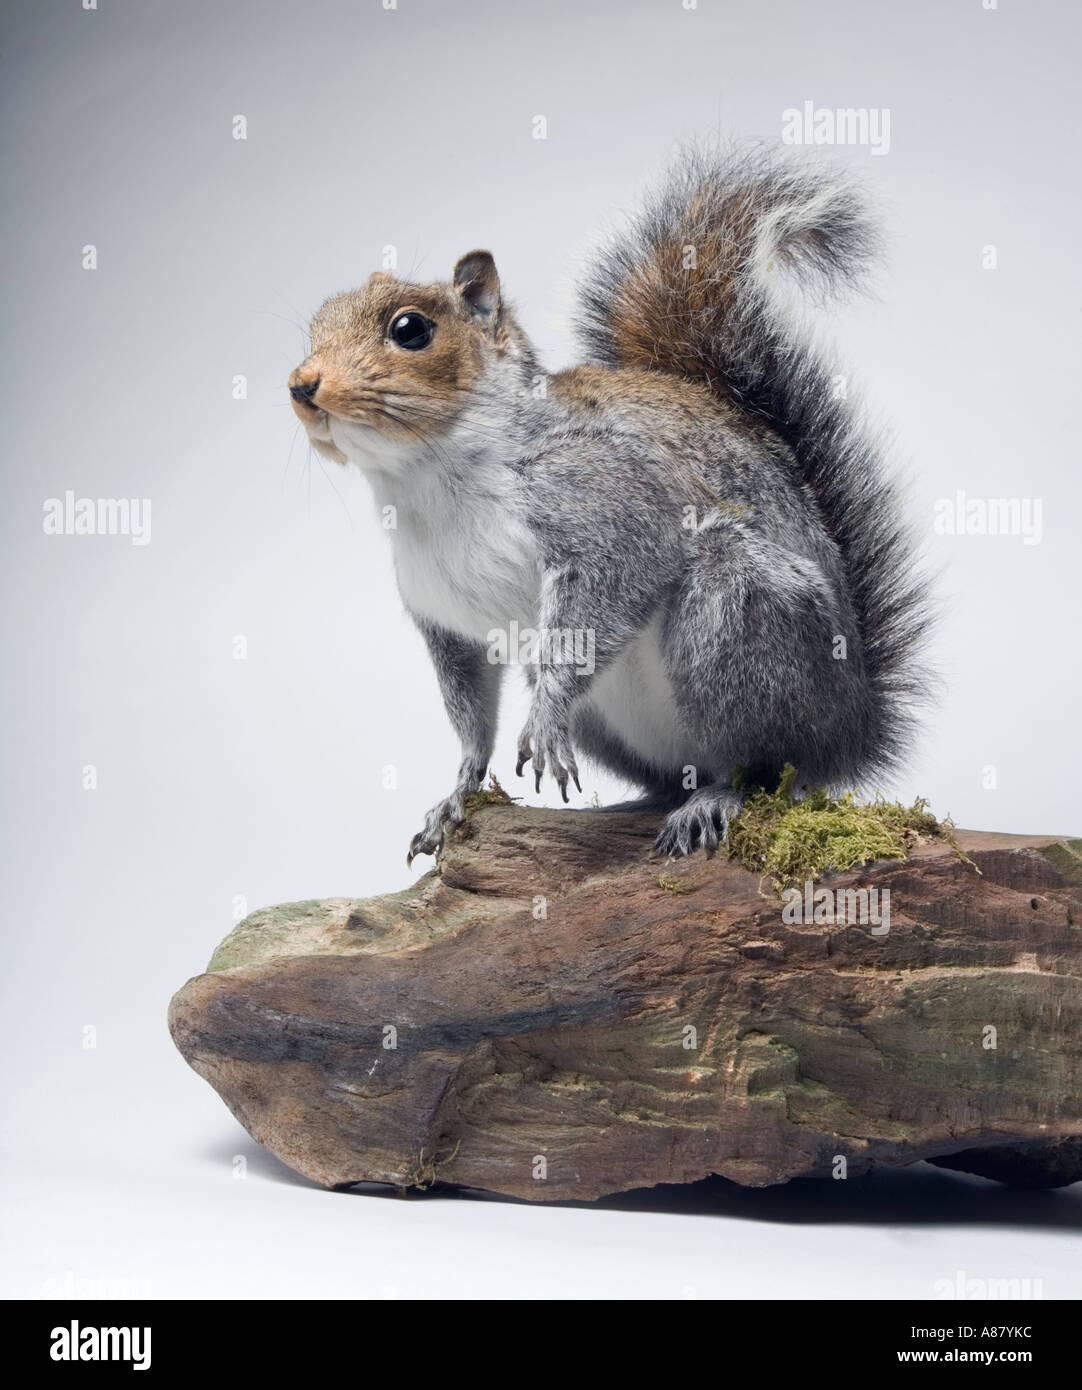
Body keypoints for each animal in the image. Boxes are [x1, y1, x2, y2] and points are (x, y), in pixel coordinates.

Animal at [288, 145, 931, 863]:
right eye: (317, 322)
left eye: (410, 329)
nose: (302, 385)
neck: (427, 481)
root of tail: (857, 730)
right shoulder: (446, 620)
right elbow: (470, 717)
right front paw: (455, 794)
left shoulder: (606, 502)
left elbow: (607, 593)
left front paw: (544, 721)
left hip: (741, 615)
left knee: (770, 764)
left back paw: (720, 796)